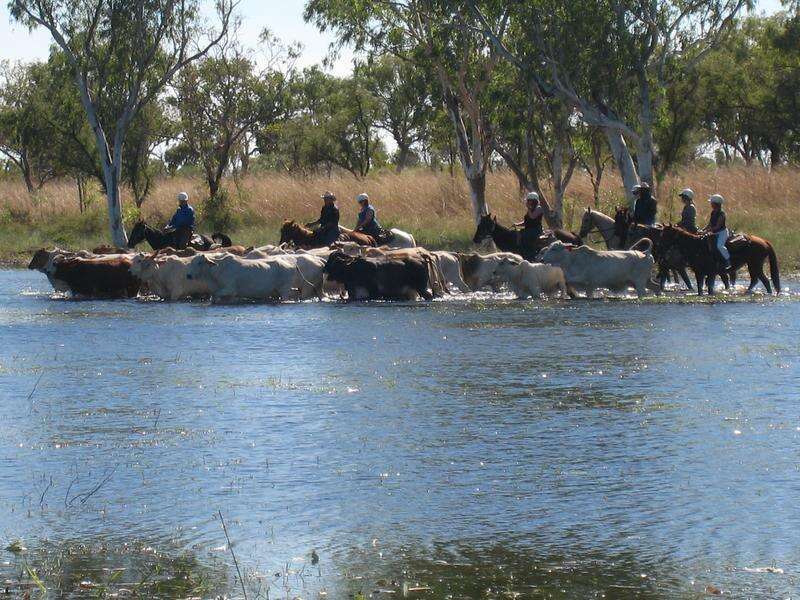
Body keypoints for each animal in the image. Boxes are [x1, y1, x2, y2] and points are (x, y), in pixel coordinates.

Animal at [185, 253, 327, 303]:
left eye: (199, 262)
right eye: (191, 262)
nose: (188, 275)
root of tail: (292, 264)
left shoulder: (230, 289)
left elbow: (214, 295)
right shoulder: (229, 294)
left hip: (284, 290)